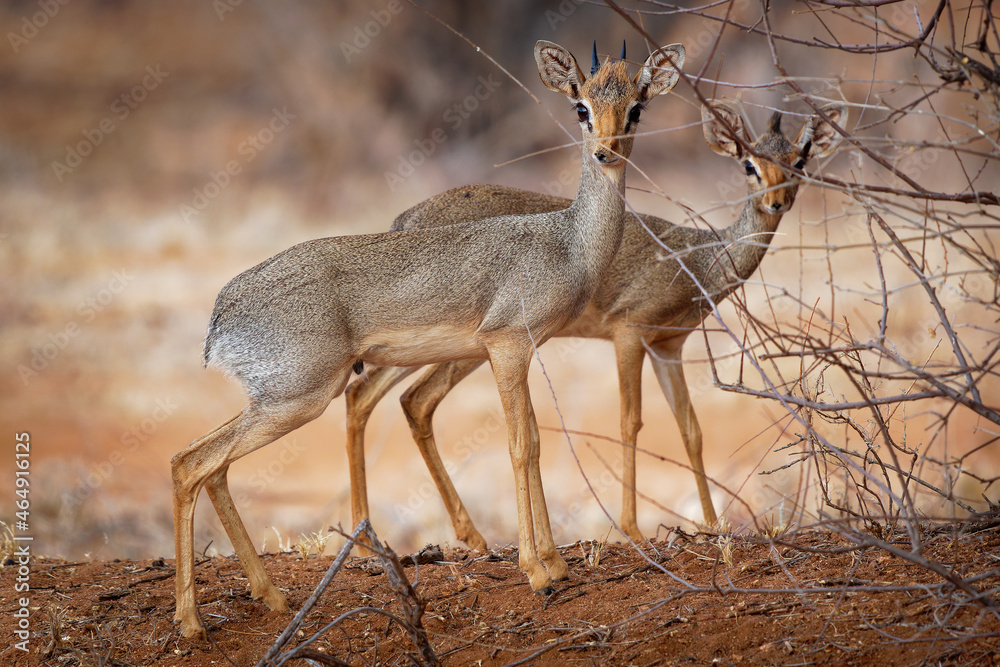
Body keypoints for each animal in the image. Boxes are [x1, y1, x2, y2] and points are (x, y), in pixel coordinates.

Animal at [171, 39, 684, 639]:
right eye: (580, 106)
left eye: (636, 108)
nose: (606, 153)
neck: (568, 244)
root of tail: (222, 311)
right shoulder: (507, 346)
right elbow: (521, 444)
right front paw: (536, 570)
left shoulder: (522, 351)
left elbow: (533, 438)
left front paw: (555, 564)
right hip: (297, 399)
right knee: (191, 463)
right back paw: (191, 622)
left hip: (280, 400)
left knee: (211, 467)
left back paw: (269, 596)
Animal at [345, 101, 846, 547]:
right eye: (748, 164)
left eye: (799, 160)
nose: (777, 202)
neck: (701, 262)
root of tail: (403, 219)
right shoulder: (629, 333)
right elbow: (630, 422)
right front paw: (633, 530)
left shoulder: (668, 347)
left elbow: (691, 428)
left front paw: (713, 525)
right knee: (407, 399)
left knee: (375, 396)